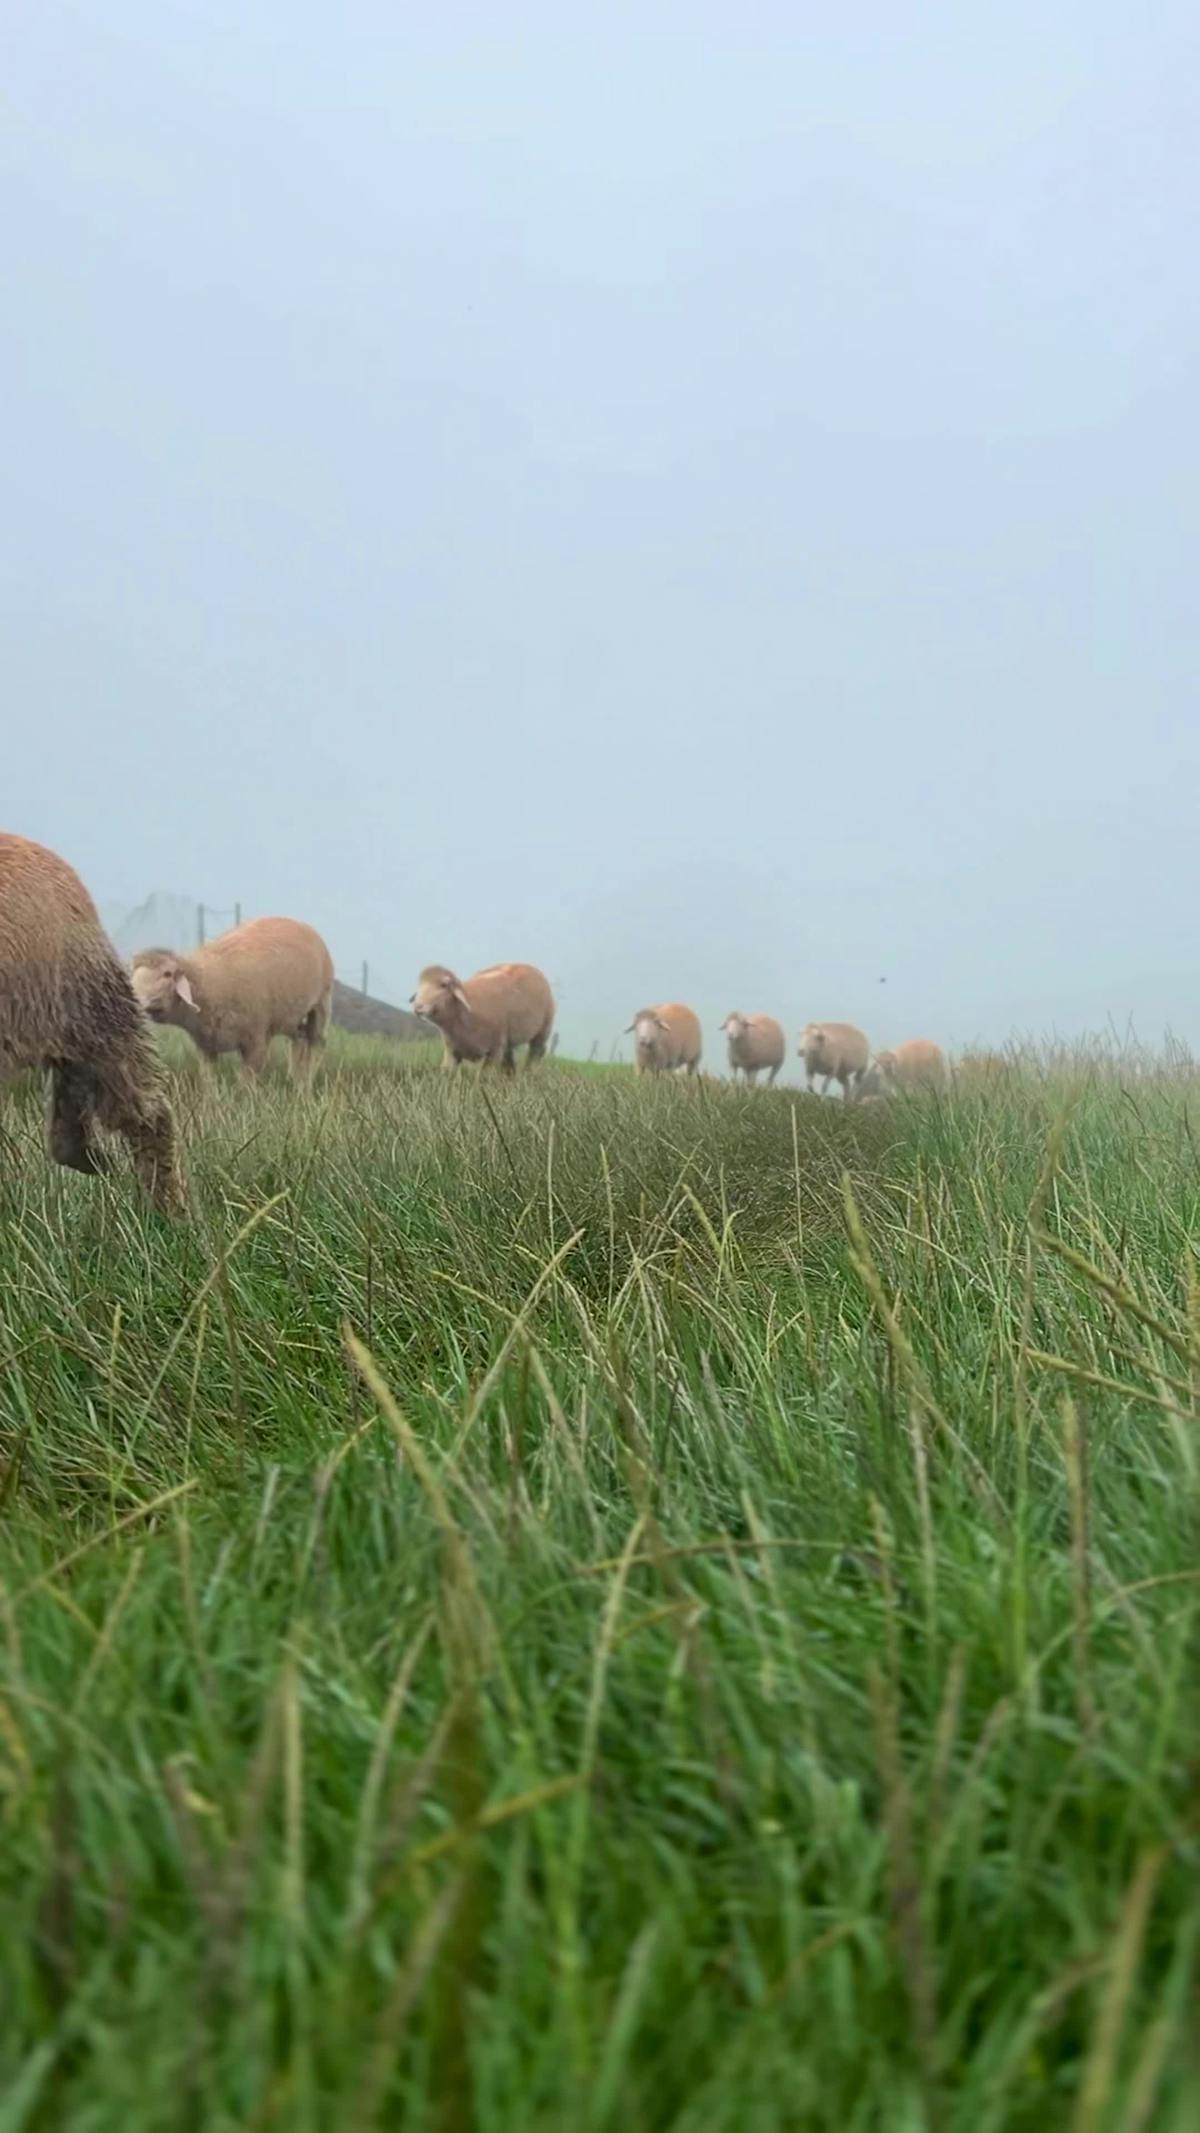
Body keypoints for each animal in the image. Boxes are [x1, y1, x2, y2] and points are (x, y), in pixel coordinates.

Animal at [131, 916, 334, 1077]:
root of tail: (301, 924)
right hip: (291, 1017)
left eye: (167, 974)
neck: (206, 982)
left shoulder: (256, 1041)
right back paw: (295, 1079)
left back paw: (307, 1083)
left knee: (317, 1042)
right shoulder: (206, 1046)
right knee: (299, 1040)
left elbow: (246, 1082)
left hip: (321, 1003)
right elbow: (209, 1081)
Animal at [411, 962, 555, 1070]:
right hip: (507, 1041)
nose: (418, 1007)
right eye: (420, 984)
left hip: (542, 1031)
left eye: (443, 985)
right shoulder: (451, 1053)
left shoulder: (494, 1051)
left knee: (535, 1055)